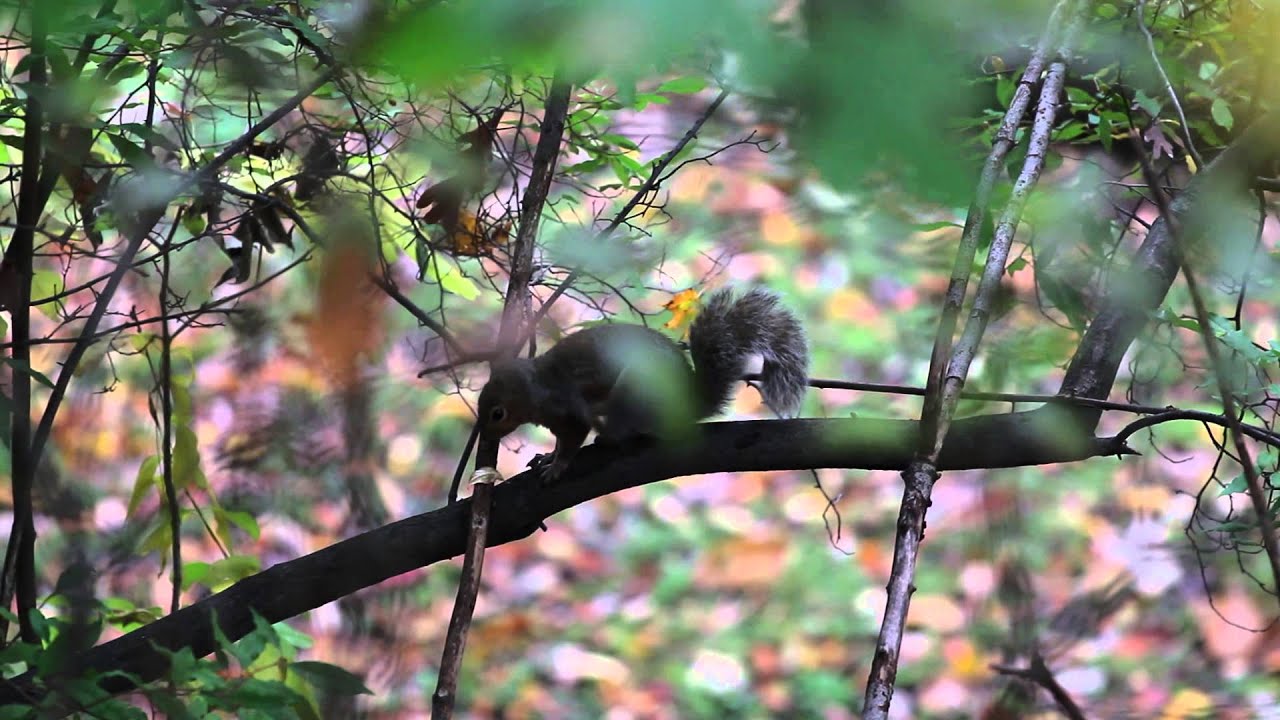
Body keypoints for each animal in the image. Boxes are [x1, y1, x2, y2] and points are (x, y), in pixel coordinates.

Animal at [473, 287, 809, 480]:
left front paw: (557, 466)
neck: (535, 388)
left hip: (635, 391)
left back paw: (610, 437)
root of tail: (685, 403)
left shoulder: (569, 408)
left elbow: (573, 438)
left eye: (497, 414)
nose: (486, 438)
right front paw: (548, 456)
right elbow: (559, 441)